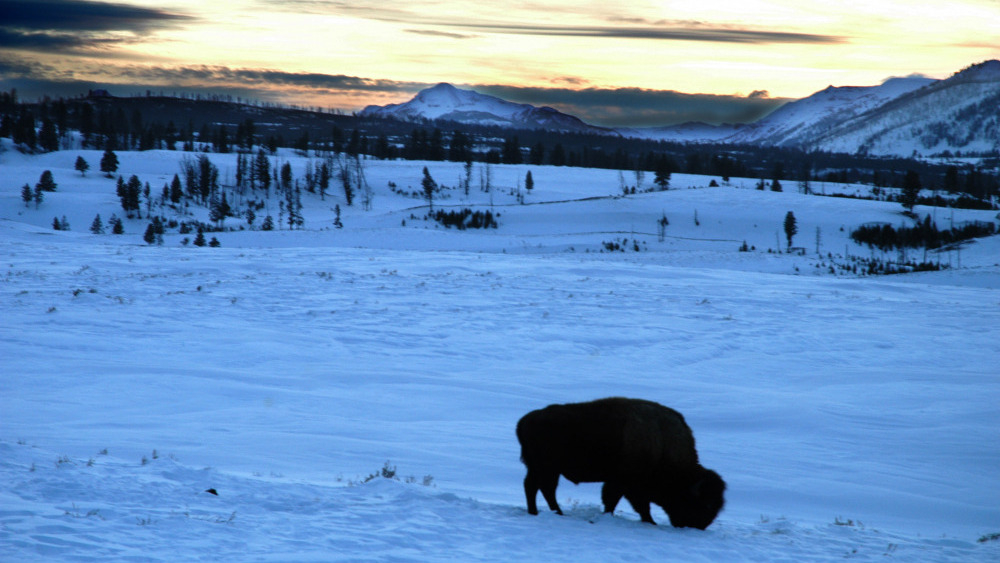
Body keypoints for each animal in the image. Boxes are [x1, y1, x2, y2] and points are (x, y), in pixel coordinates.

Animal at [516, 397, 725, 529]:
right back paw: (549, 513)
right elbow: (625, 502)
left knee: (538, 487)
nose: (699, 526)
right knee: (540, 488)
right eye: (705, 504)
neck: (663, 444)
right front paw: (649, 522)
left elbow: (618, 501)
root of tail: (524, 421)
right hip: (546, 468)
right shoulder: (626, 484)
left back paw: (548, 512)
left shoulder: (622, 484)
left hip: (544, 469)